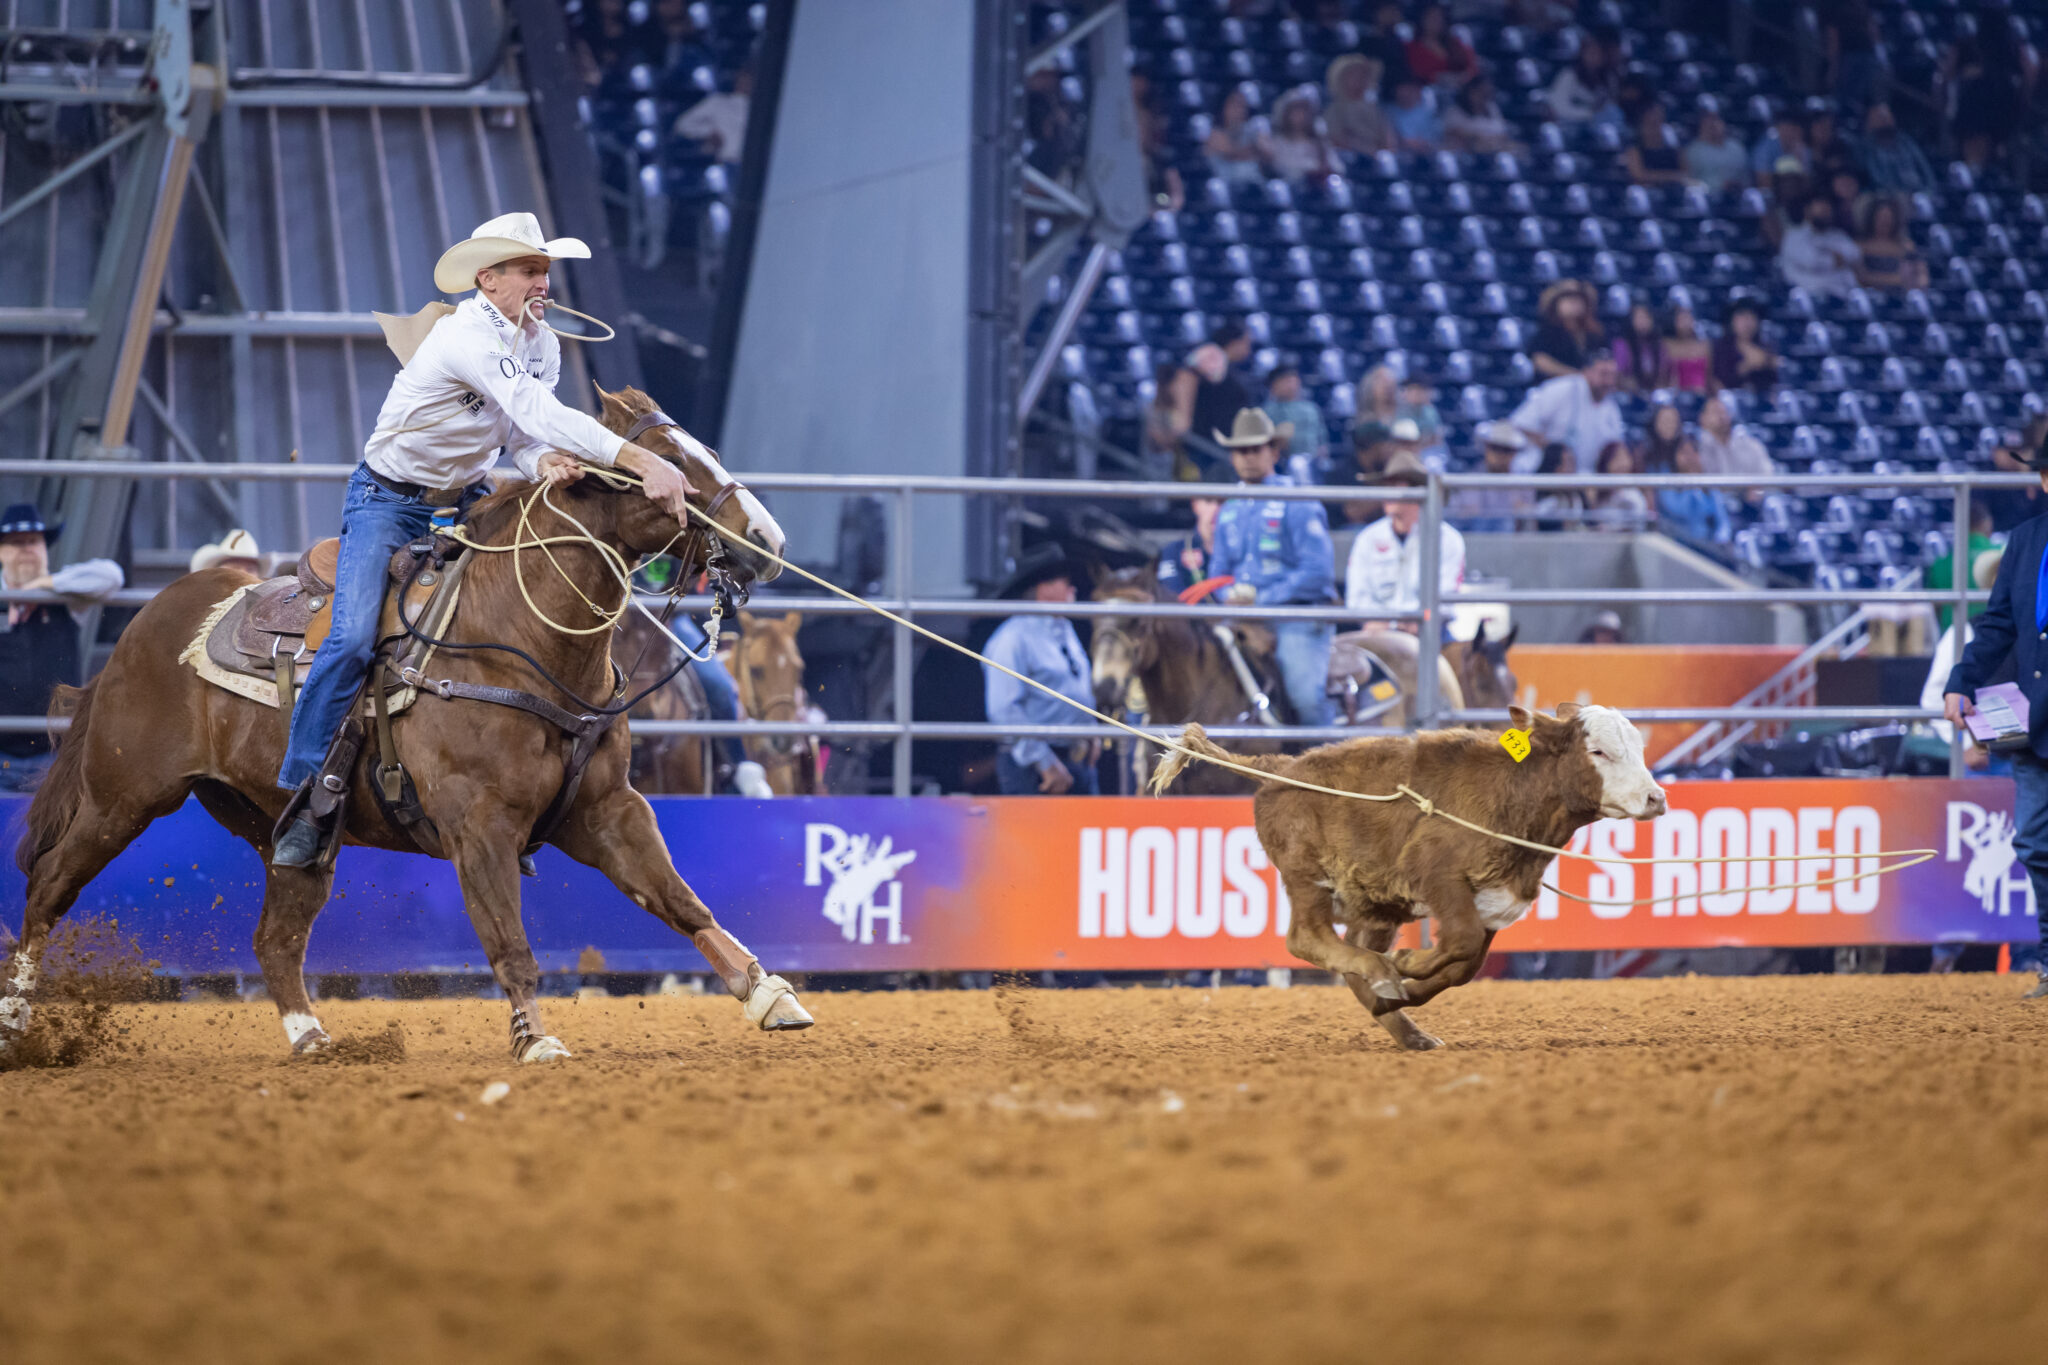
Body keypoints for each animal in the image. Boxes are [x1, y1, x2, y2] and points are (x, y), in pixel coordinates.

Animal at [1, 386, 815, 1063]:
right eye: (672, 462)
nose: (769, 538)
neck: (514, 636)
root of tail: (143, 624)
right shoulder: (479, 826)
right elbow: (509, 942)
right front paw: (536, 1040)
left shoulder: (608, 810)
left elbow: (678, 899)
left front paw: (769, 994)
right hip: (121, 798)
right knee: (48, 889)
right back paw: (17, 1027)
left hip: (287, 834)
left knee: (275, 939)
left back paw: (312, 1038)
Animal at [1150, 703, 1666, 1050]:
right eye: (1598, 751)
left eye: (1638, 749)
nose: (1656, 798)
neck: (1518, 797)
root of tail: (1279, 769)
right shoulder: (1436, 873)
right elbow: (1458, 944)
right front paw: (1406, 964)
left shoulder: (1495, 902)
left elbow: (1463, 966)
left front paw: (1406, 985)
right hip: (1306, 876)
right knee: (1307, 938)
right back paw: (1384, 976)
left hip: (1375, 904)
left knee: (1353, 950)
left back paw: (1399, 1016)